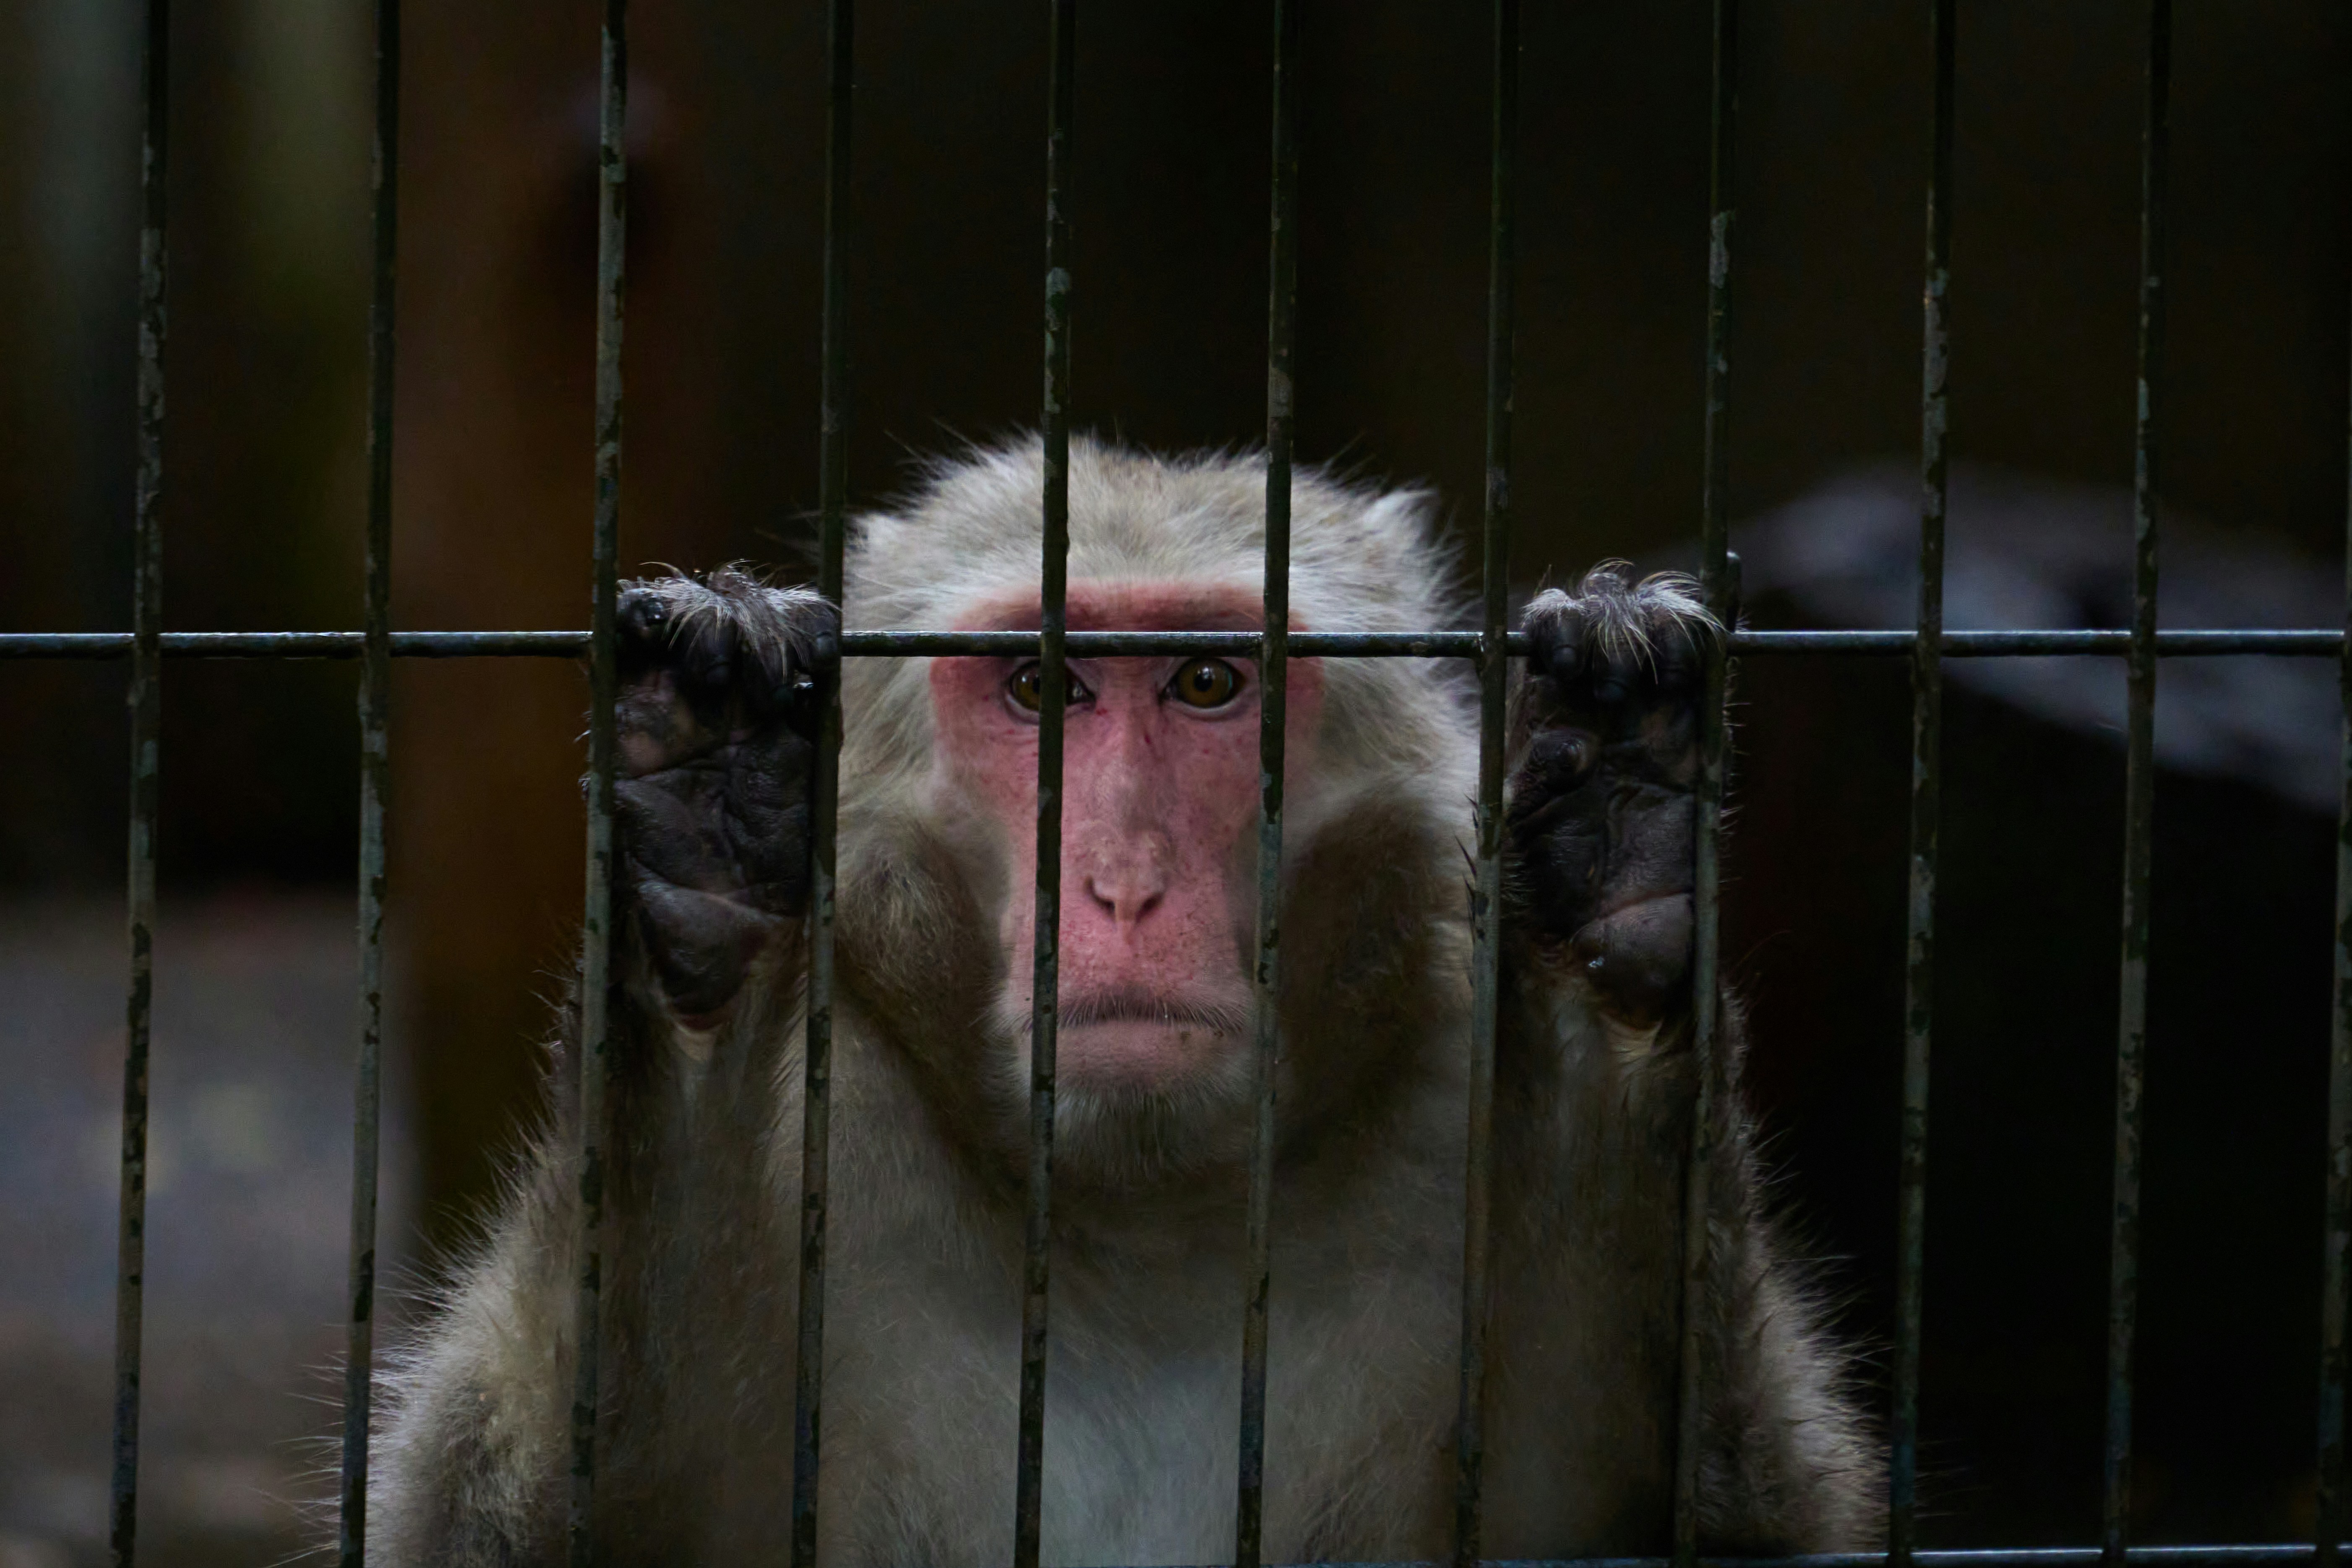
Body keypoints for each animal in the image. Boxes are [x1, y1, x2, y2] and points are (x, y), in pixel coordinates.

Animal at [365, 437, 1880, 1565]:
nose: (1121, 880)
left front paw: (1613, 871)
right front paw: (706, 852)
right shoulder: (831, 1126)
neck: (1136, 1217)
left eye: (1208, 681)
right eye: (1042, 687)